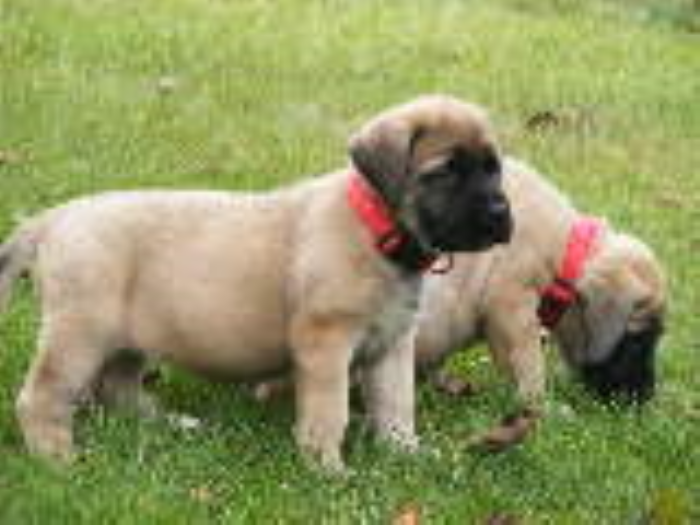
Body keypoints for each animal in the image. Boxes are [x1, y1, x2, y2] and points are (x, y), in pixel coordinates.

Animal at [0, 96, 512, 468]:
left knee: (118, 388)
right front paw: (327, 467)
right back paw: (57, 457)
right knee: (40, 397)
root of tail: (51, 220)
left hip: (128, 336)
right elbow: (330, 412)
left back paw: (168, 423)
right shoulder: (325, 344)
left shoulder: (391, 346)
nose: (500, 213)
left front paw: (406, 452)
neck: (377, 228)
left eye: (493, 167)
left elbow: (396, 406)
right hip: (79, 334)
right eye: (445, 171)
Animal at [418, 157, 664, 446]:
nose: (645, 398)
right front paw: (544, 409)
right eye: (636, 342)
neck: (563, 249)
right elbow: (530, 367)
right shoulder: (511, 310)